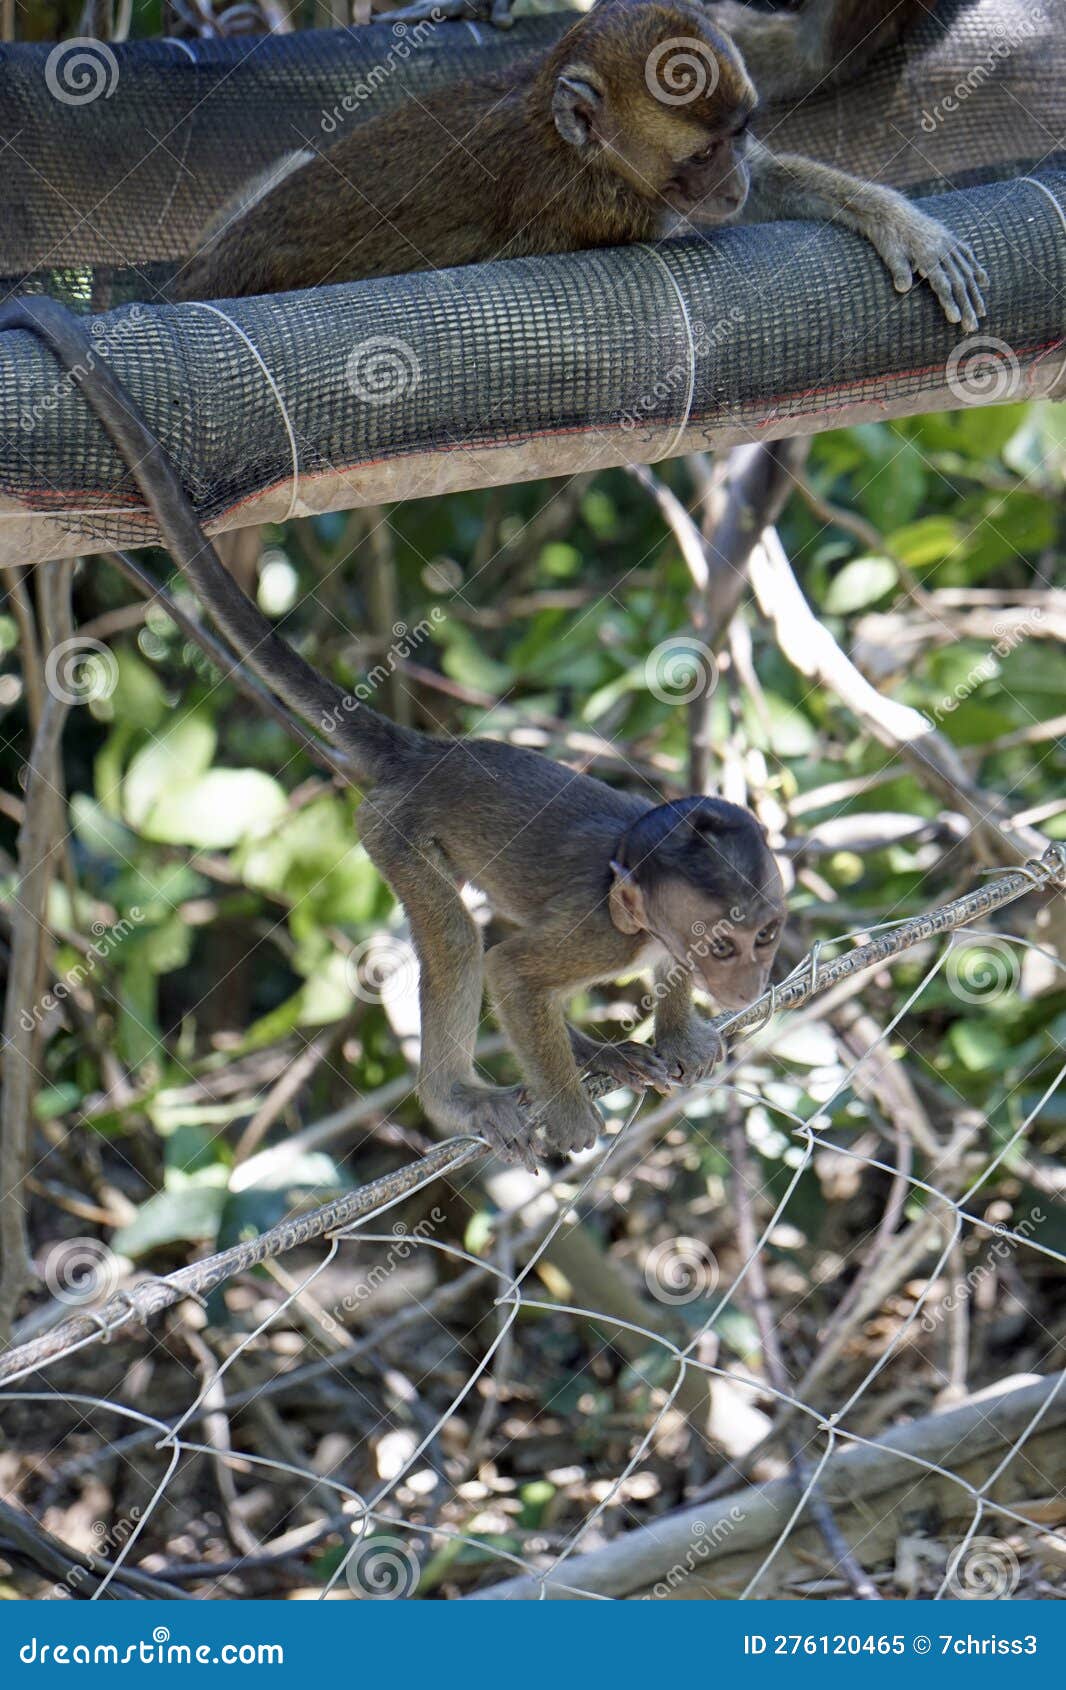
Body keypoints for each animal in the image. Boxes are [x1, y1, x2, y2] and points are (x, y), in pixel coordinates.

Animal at [0, 296, 785, 1172]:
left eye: (765, 937)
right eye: (723, 948)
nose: (749, 985)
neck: (638, 906)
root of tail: (427, 752)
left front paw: (677, 1035)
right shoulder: (601, 936)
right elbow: (511, 972)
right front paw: (570, 1110)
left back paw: (591, 1053)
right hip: (390, 827)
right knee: (460, 940)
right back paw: (459, 1096)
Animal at [174, 0, 987, 333]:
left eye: (741, 134)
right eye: (703, 154)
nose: (732, 184)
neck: (565, 139)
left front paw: (899, 223)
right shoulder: (593, 205)